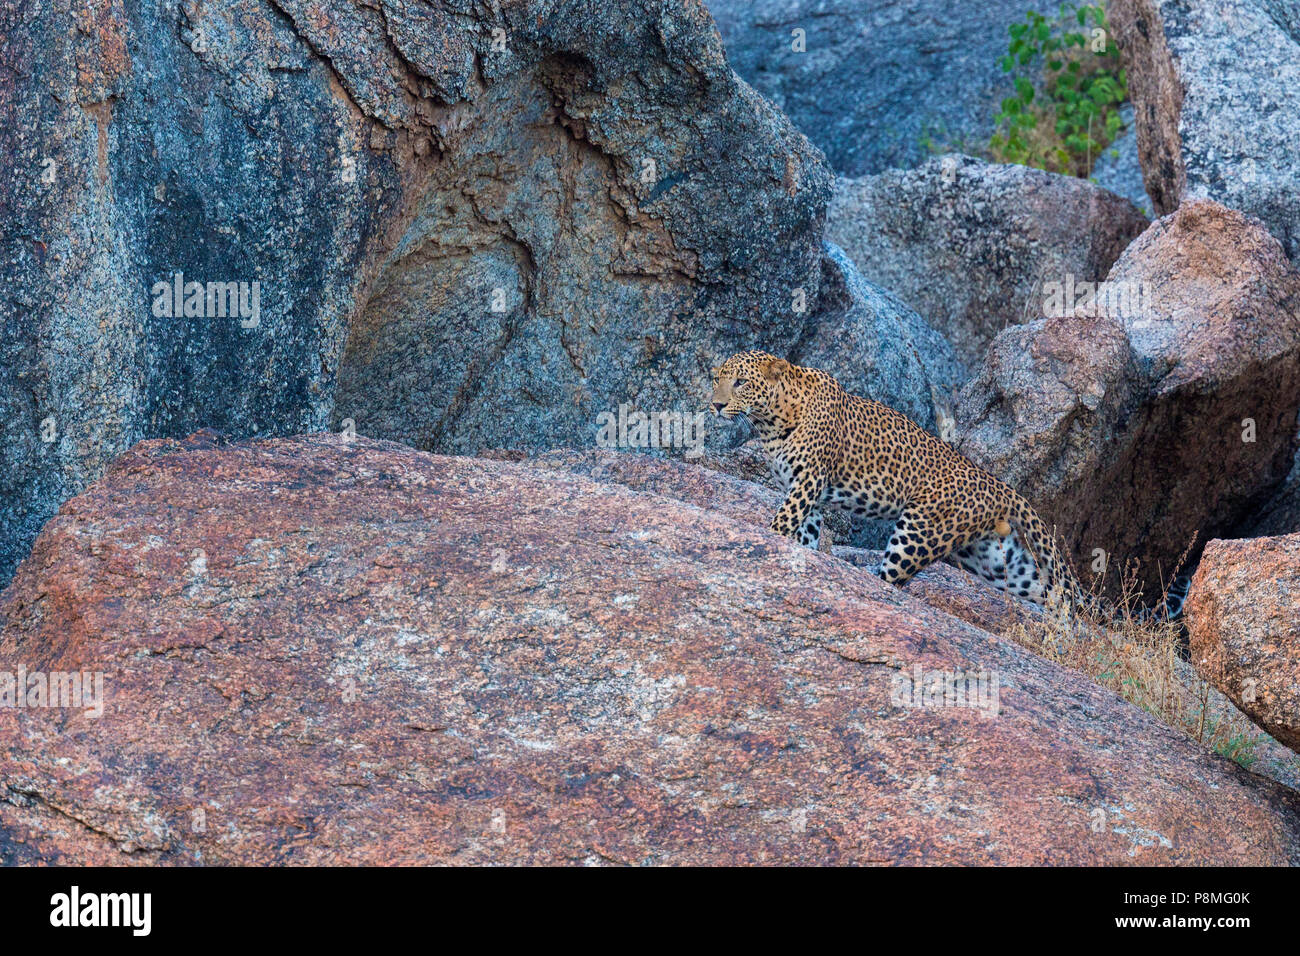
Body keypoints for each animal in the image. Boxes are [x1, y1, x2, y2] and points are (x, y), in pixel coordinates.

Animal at [709, 350, 1187, 622]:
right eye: (716, 377)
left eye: (741, 382)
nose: (714, 405)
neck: (770, 420)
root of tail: (1002, 486)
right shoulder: (810, 494)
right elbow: (804, 534)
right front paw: (802, 558)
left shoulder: (807, 482)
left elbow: (782, 521)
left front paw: (765, 541)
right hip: (994, 560)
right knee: (1056, 596)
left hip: (918, 530)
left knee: (892, 577)